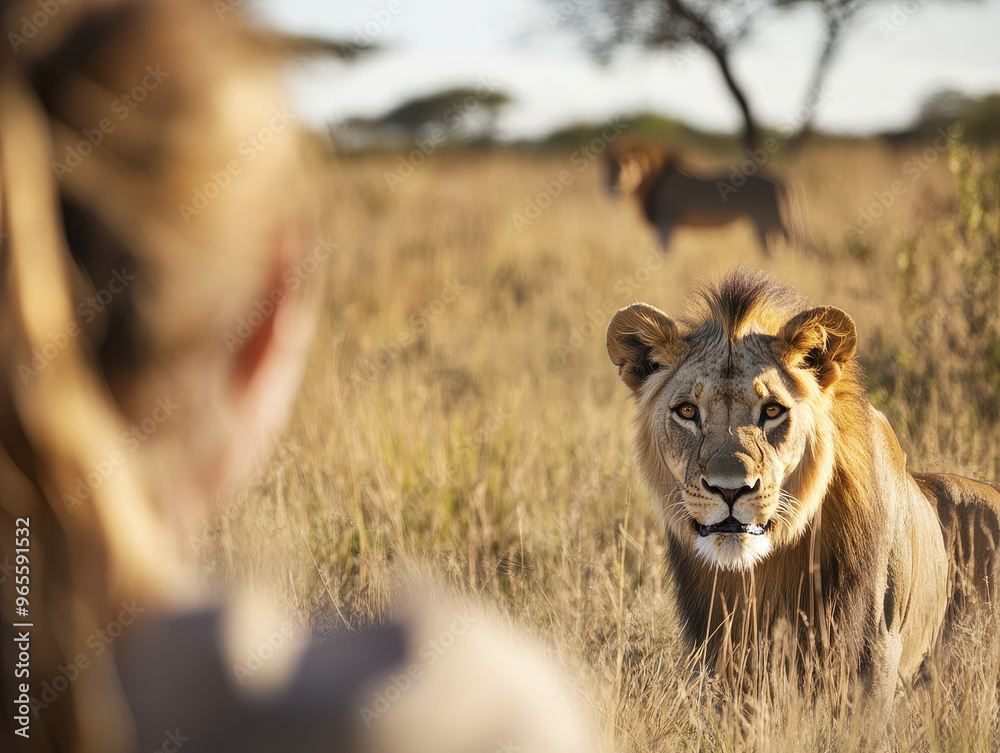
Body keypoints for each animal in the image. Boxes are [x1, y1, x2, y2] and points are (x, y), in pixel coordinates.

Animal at [605, 144, 794, 254]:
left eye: (630, 168)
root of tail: (780, 179)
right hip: (762, 224)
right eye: (610, 169)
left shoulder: (666, 222)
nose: (614, 188)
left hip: (773, 219)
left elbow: (664, 255)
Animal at [606, 268, 1000, 724]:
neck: (767, 570)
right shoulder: (725, 658)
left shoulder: (876, 653)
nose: (729, 489)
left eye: (773, 410)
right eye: (687, 411)